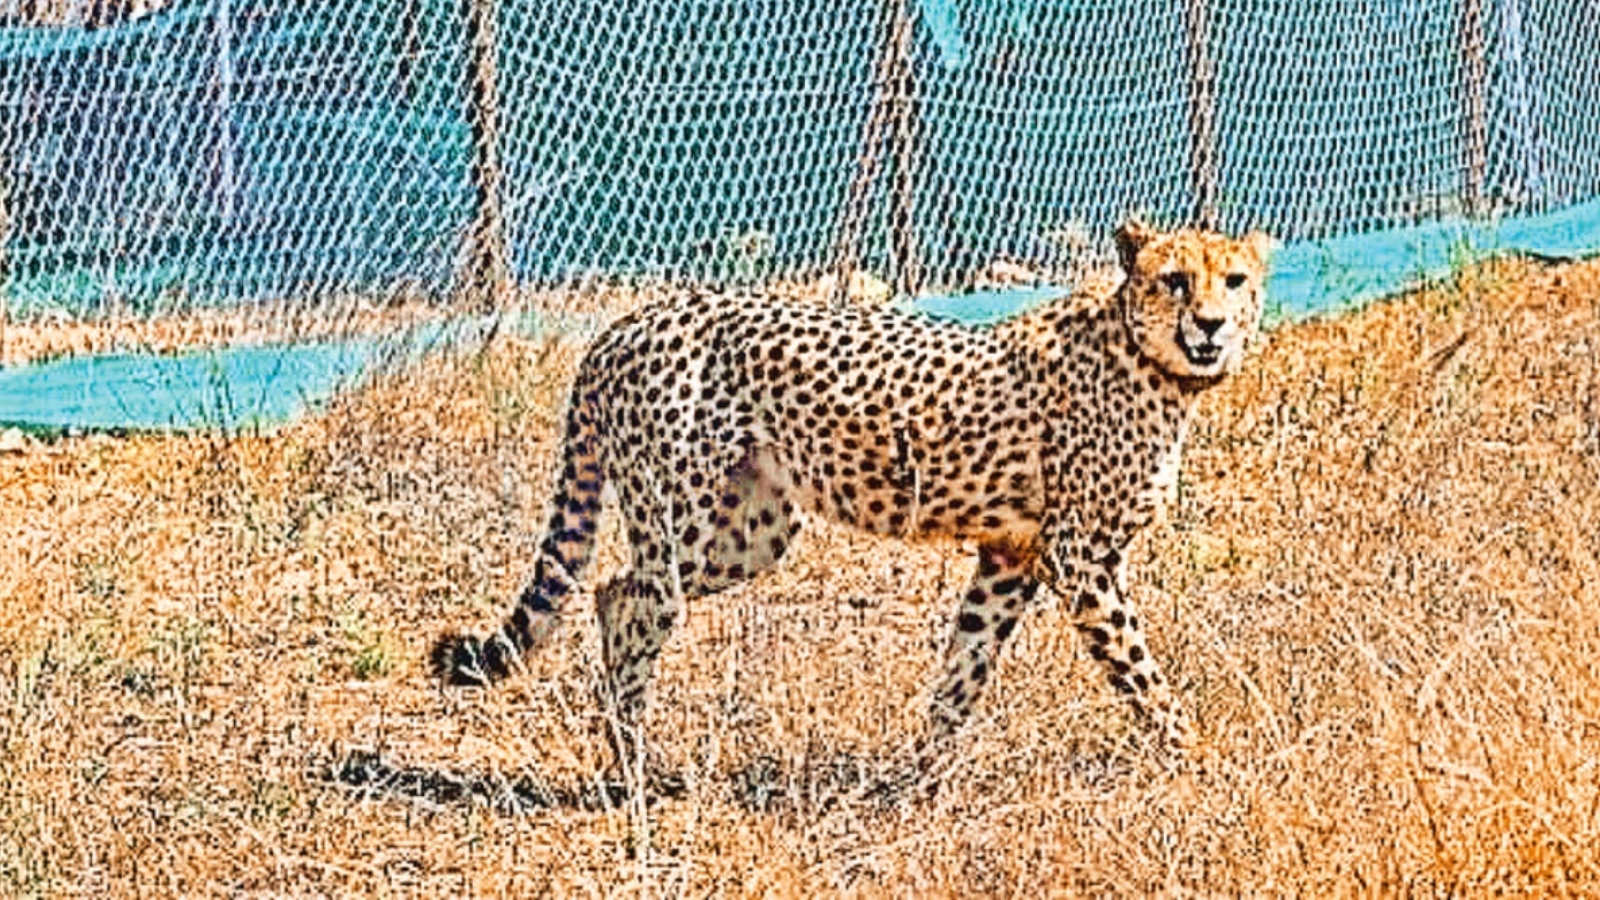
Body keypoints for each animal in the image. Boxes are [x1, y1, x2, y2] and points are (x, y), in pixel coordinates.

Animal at [431, 220, 1275, 764]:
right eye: (1175, 280)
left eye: (1235, 281)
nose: (1211, 324)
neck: (1153, 362)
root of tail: (628, 322)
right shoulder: (1079, 557)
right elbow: (1138, 669)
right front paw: (1196, 758)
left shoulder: (1011, 556)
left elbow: (963, 668)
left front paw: (917, 778)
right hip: (683, 518)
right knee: (641, 603)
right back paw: (634, 767)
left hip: (752, 532)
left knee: (613, 589)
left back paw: (626, 746)